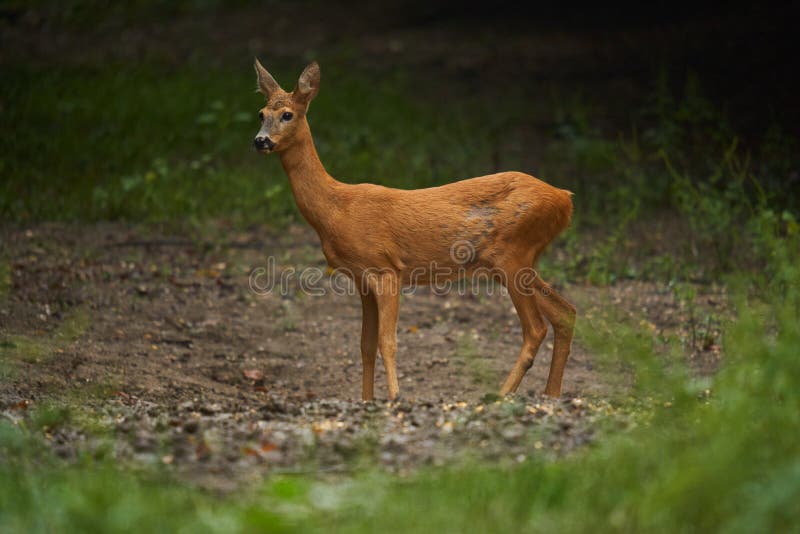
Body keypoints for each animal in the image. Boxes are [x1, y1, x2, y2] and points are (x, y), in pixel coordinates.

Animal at [253, 59, 576, 401]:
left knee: (536, 328)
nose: (260, 141)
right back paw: (551, 394)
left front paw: (395, 397)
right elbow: (365, 346)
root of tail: (564, 199)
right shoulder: (361, 279)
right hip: (515, 261)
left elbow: (388, 342)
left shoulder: (386, 270)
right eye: (261, 113)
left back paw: (501, 395)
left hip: (512, 253)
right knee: (565, 312)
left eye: (287, 114)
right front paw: (367, 400)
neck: (337, 209)